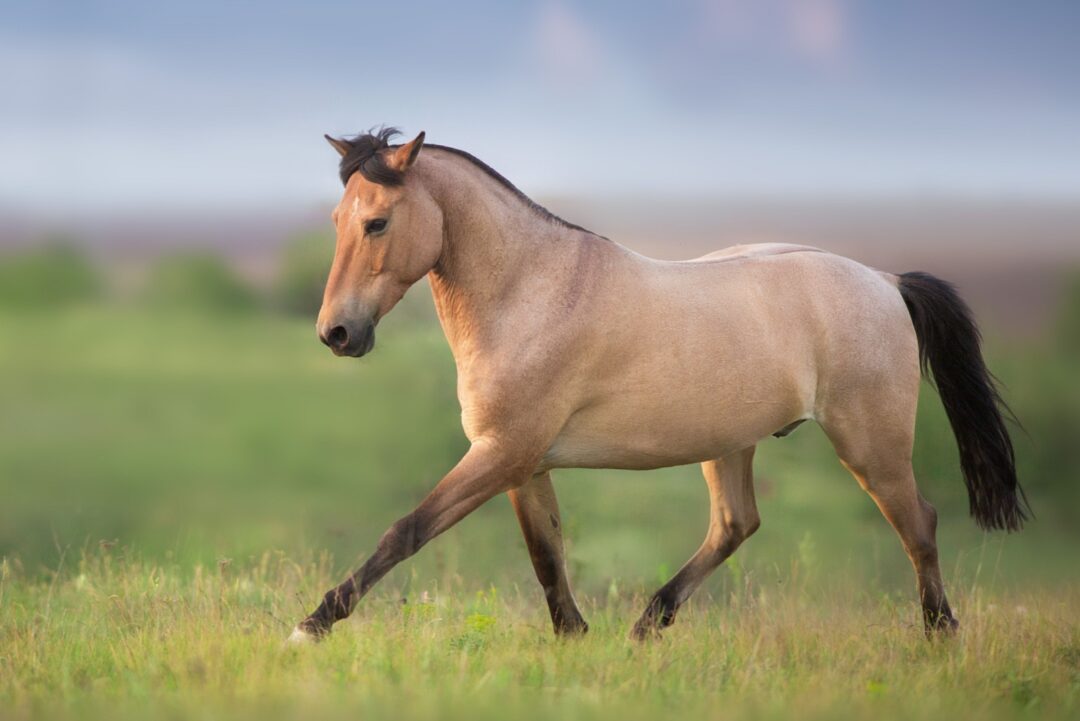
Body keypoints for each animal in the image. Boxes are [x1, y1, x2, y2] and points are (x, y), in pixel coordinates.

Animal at [288, 127, 1027, 644]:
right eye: (336, 221)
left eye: (377, 221)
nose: (336, 333)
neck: (531, 290)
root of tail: (886, 281)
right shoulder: (523, 464)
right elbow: (547, 554)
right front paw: (576, 638)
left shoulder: (501, 454)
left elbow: (406, 531)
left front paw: (310, 626)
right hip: (730, 444)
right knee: (736, 524)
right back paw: (648, 624)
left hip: (870, 444)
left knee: (918, 525)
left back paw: (939, 637)